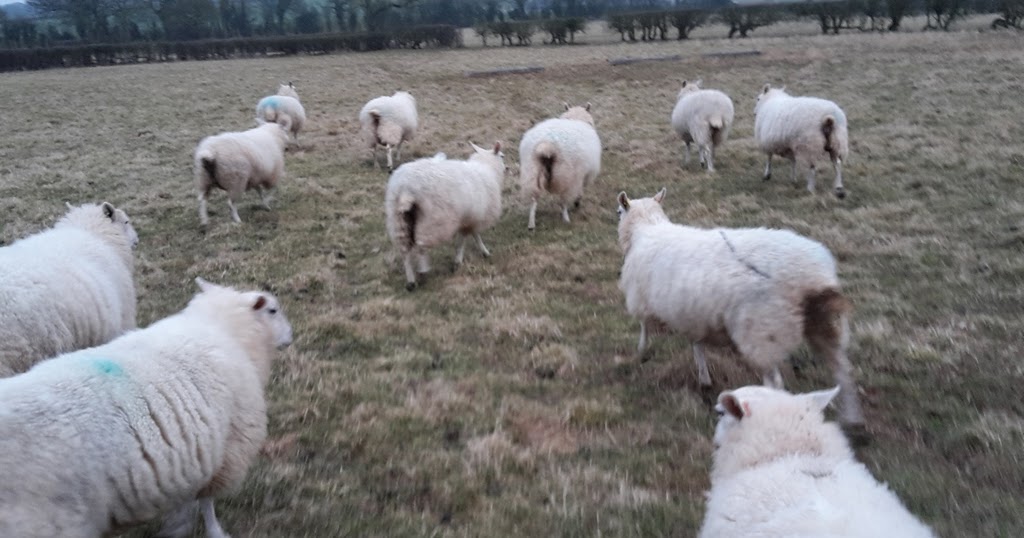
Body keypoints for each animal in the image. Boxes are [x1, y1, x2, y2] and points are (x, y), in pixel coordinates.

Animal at [0, 278, 293, 538]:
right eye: (273, 310)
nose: (291, 335)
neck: (223, 329)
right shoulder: (226, 452)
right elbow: (205, 503)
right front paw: (211, 532)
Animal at [385, 142, 505, 291]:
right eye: (502, 156)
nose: (507, 168)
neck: (486, 168)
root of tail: (405, 188)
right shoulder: (471, 218)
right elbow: (463, 240)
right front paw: (459, 261)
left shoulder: (470, 217)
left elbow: (474, 235)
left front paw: (484, 252)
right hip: (431, 220)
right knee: (421, 246)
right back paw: (423, 271)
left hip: (398, 219)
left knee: (405, 250)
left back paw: (411, 281)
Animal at [616, 188, 864, 426]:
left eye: (619, 211)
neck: (647, 228)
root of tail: (812, 276)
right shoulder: (692, 313)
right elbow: (697, 344)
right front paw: (704, 378)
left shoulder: (640, 299)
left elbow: (644, 327)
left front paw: (640, 351)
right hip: (824, 323)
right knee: (842, 369)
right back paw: (852, 419)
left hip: (764, 332)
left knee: (775, 382)